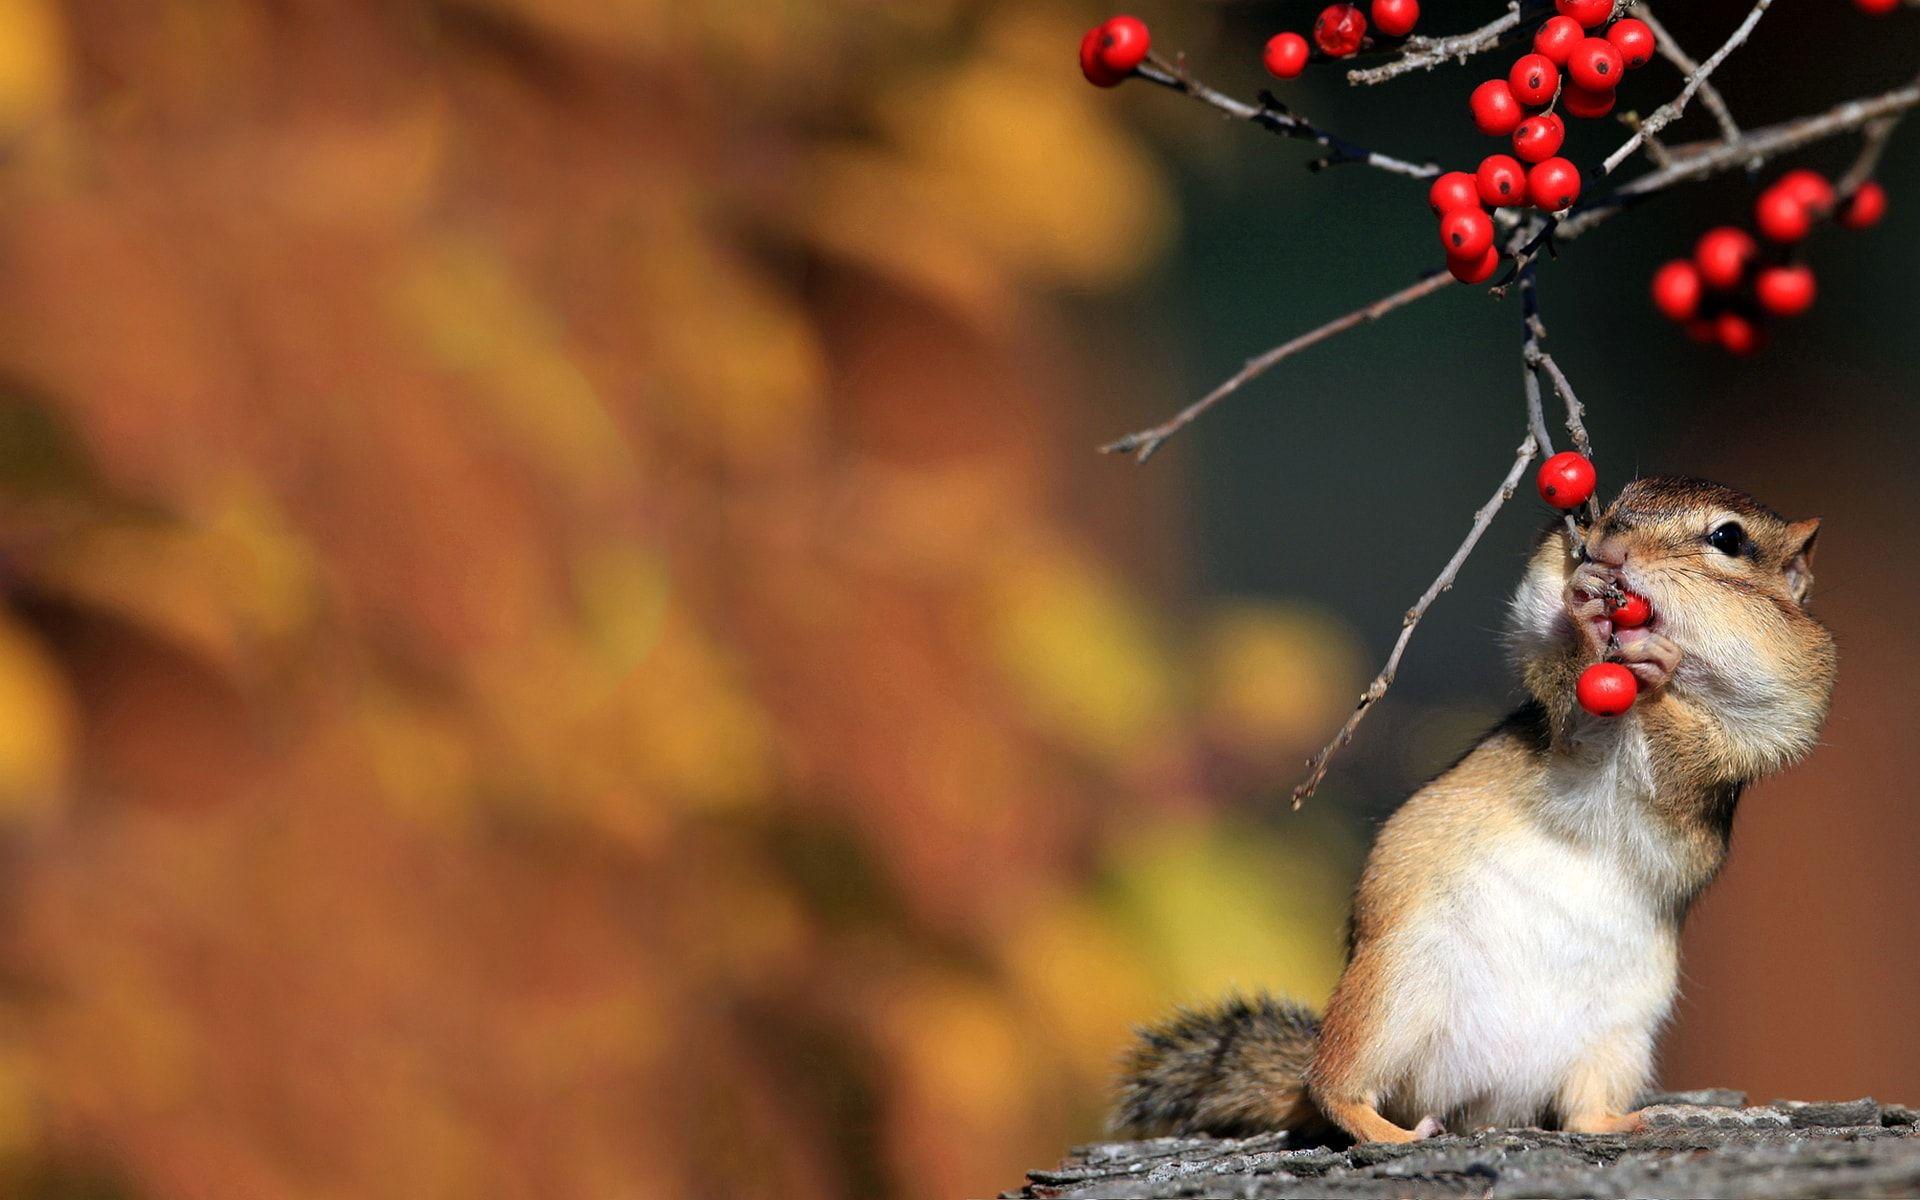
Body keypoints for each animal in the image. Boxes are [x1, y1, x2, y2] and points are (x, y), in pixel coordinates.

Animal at [1113, 476, 1836, 1145]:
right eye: (1613, 505)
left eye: (1728, 539)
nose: (1608, 546)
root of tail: (1493, 1090)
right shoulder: (1561, 694)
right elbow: (1547, 640)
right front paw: (1582, 603)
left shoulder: (1771, 713)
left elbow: (1703, 738)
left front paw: (1659, 662)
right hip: (1392, 991)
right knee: (1333, 1089)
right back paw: (1391, 1132)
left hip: (1616, 1039)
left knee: (1578, 1115)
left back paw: (1629, 1120)